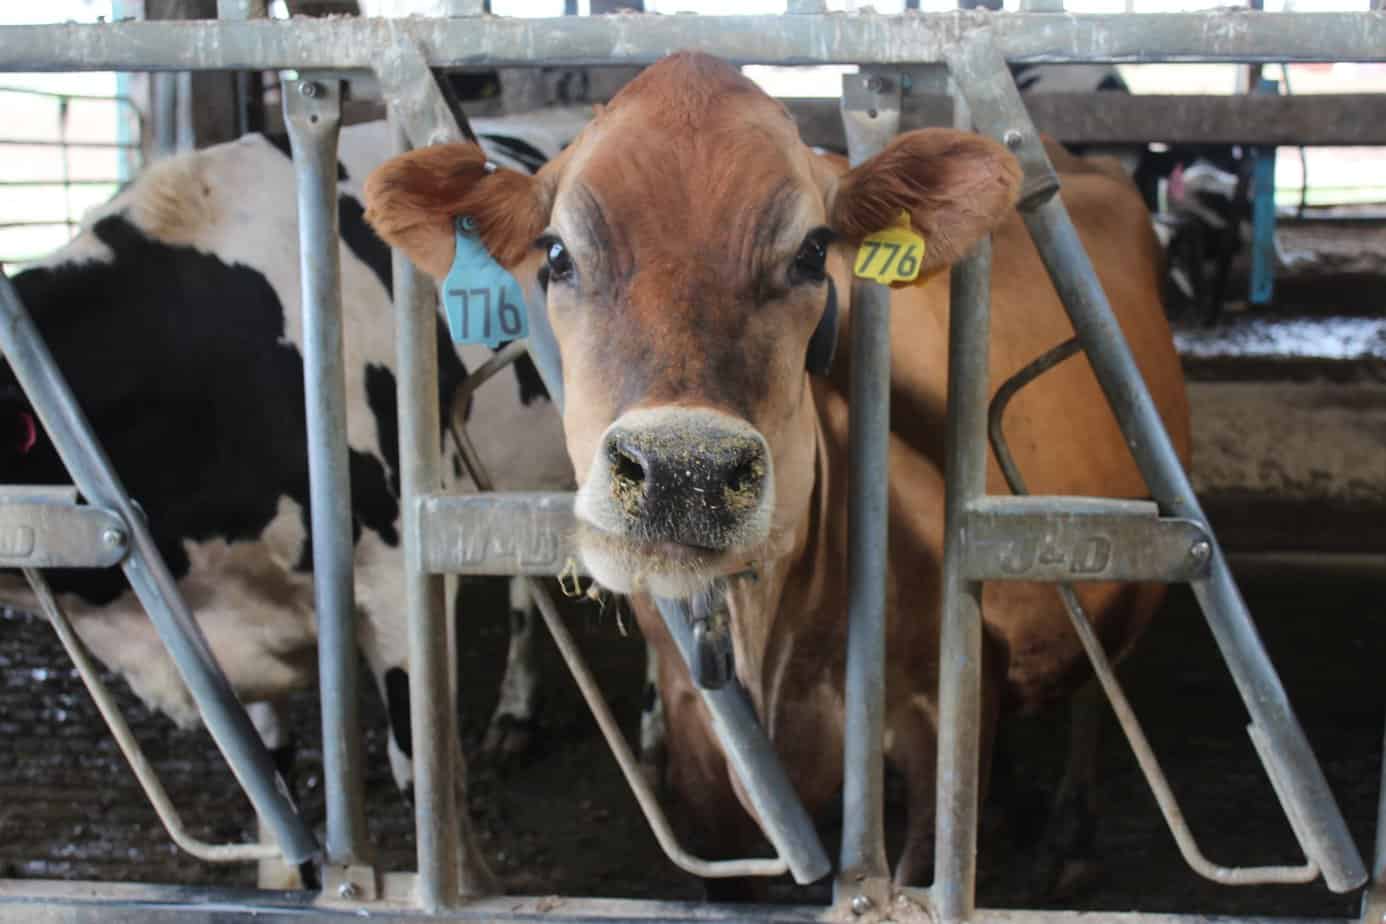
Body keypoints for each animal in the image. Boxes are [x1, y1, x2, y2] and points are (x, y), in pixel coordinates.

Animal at [364, 51, 1191, 890]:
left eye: (811, 252)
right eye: (557, 255)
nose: (683, 471)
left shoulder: (937, 718)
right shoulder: (704, 753)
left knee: (1096, 681)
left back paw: (1071, 836)